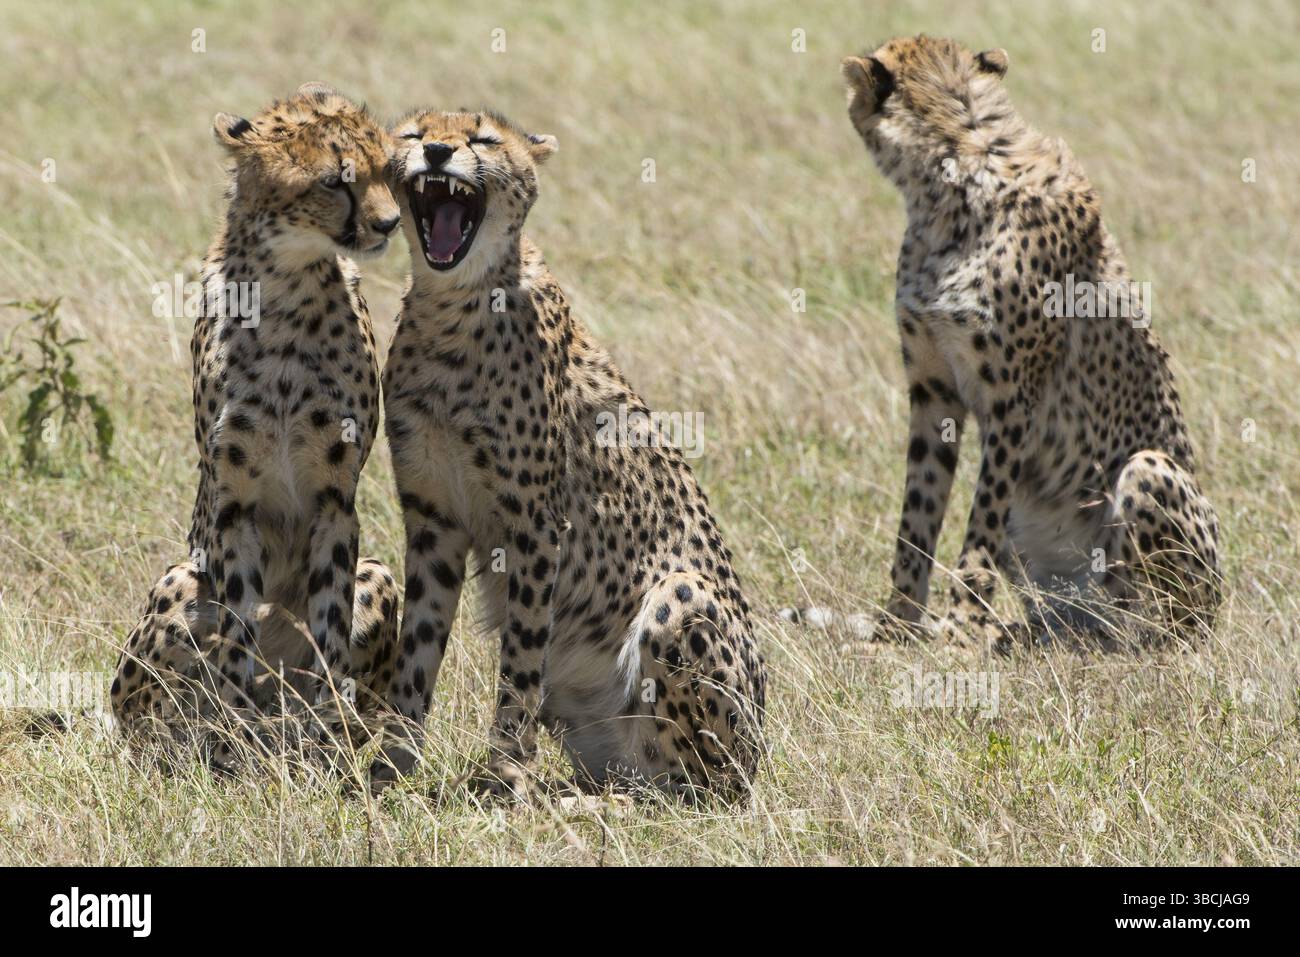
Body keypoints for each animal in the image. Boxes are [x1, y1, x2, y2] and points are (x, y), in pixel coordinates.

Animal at [111, 84, 403, 749]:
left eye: (387, 170)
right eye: (334, 181)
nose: (390, 222)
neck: (290, 286)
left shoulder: (335, 496)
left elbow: (330, 618)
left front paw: (330, 719)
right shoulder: (233, 499)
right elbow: (238, 623)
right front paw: (236, 724)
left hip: (378, 571)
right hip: (179, 583)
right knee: (138, 711)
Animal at [374, 108, 766, 799]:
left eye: (482, 139)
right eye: (413, 133)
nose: (439, 151)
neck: (454, 303)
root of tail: (765, 748)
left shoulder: (536, 526)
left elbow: (522, 658)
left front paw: (503, 776)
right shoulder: (433, 520)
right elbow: (416, 649)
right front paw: (386, 769)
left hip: (682, 602)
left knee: (694, 789)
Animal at [786, 36, 1220, 649]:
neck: (954, 171)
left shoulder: (1014, 401)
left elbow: (980, 524)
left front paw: (960, 626)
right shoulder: (933, 391)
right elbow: (917, 516)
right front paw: (897, 626)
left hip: (1150, 480)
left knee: (1152, 622)